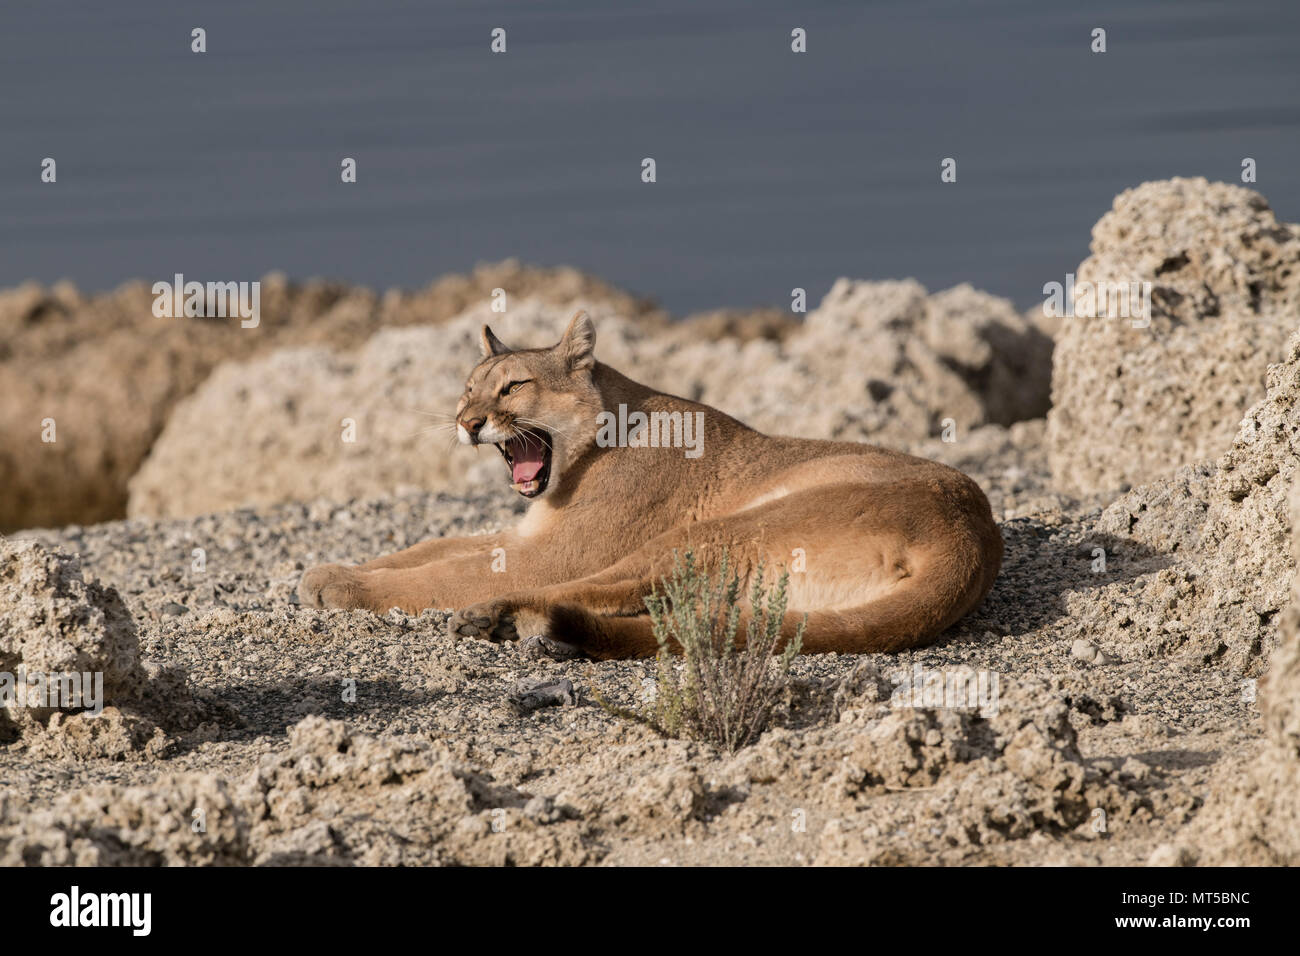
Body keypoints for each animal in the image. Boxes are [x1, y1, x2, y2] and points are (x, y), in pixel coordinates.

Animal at [298, 310, 1003, 659]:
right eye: (467, 389)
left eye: (513, 387)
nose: (468, 423)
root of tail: (973, 538)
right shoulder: (524, 531)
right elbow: (430, 548)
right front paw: (337, 566)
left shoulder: (551, 550)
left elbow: (441, 573)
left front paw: (335, 585)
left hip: (722, 528)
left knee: (608, 592)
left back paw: (501, 617)